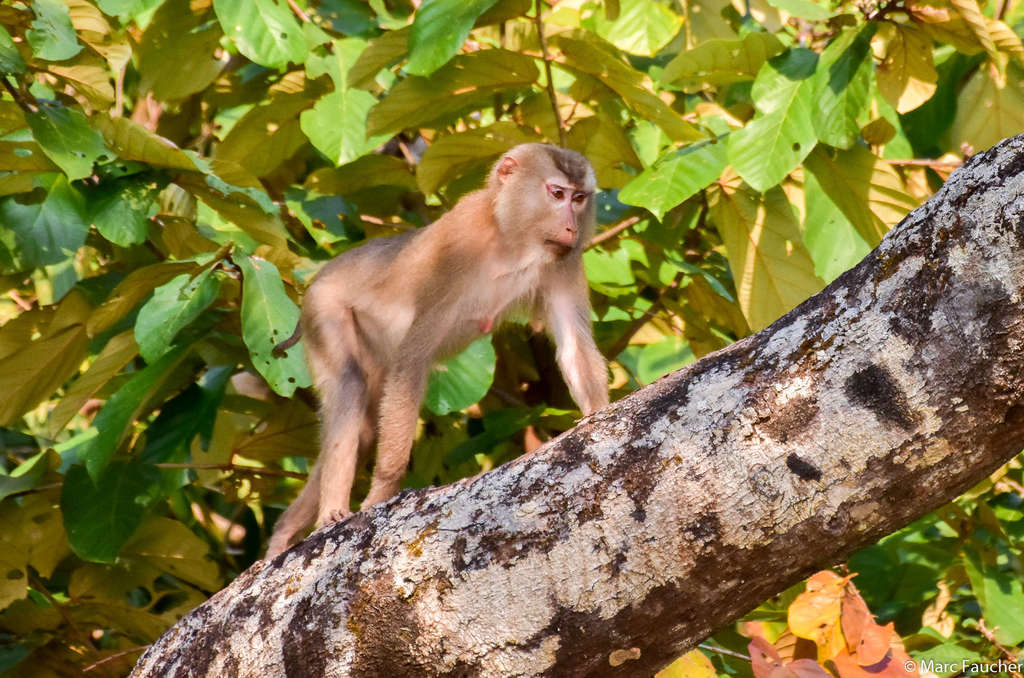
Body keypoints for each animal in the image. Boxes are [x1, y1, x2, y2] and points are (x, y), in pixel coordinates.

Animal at [265, 143, 609, 558]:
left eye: (580, 198)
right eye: (557, 194)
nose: (572, 226)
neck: (511, 239)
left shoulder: (564, 260)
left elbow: (574, 346)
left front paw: (599, 418)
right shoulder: (455, 249)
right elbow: (414, 356)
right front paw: (381, 497)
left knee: (365, 426)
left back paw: (286, 530)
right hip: (324, 310)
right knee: (349, 384)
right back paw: (330, 511)